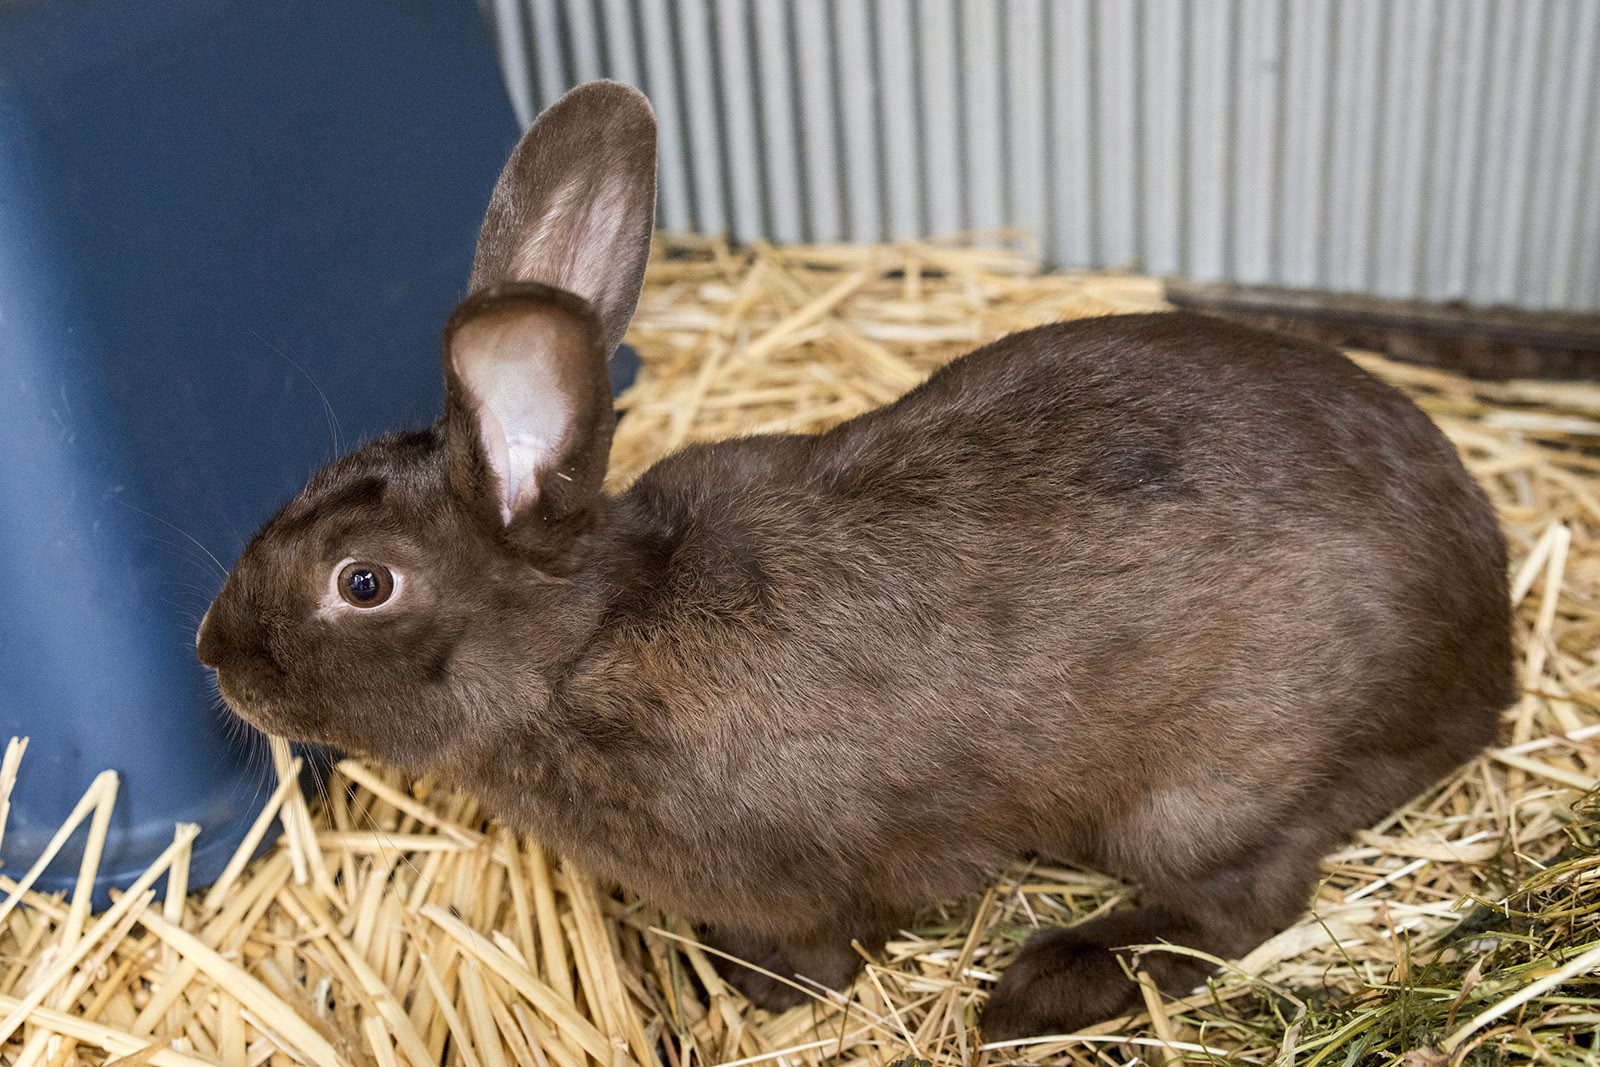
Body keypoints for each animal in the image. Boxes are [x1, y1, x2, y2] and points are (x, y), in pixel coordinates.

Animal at [196, 80, 1515, 1040]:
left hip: (1204, 786)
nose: (212, 653)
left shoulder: (809, 875)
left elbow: (827, 946)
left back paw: (1042, 987)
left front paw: (753, 989)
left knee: (1242, 900)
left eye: (363, 581)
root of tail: (1488, 658)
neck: (592, 645)